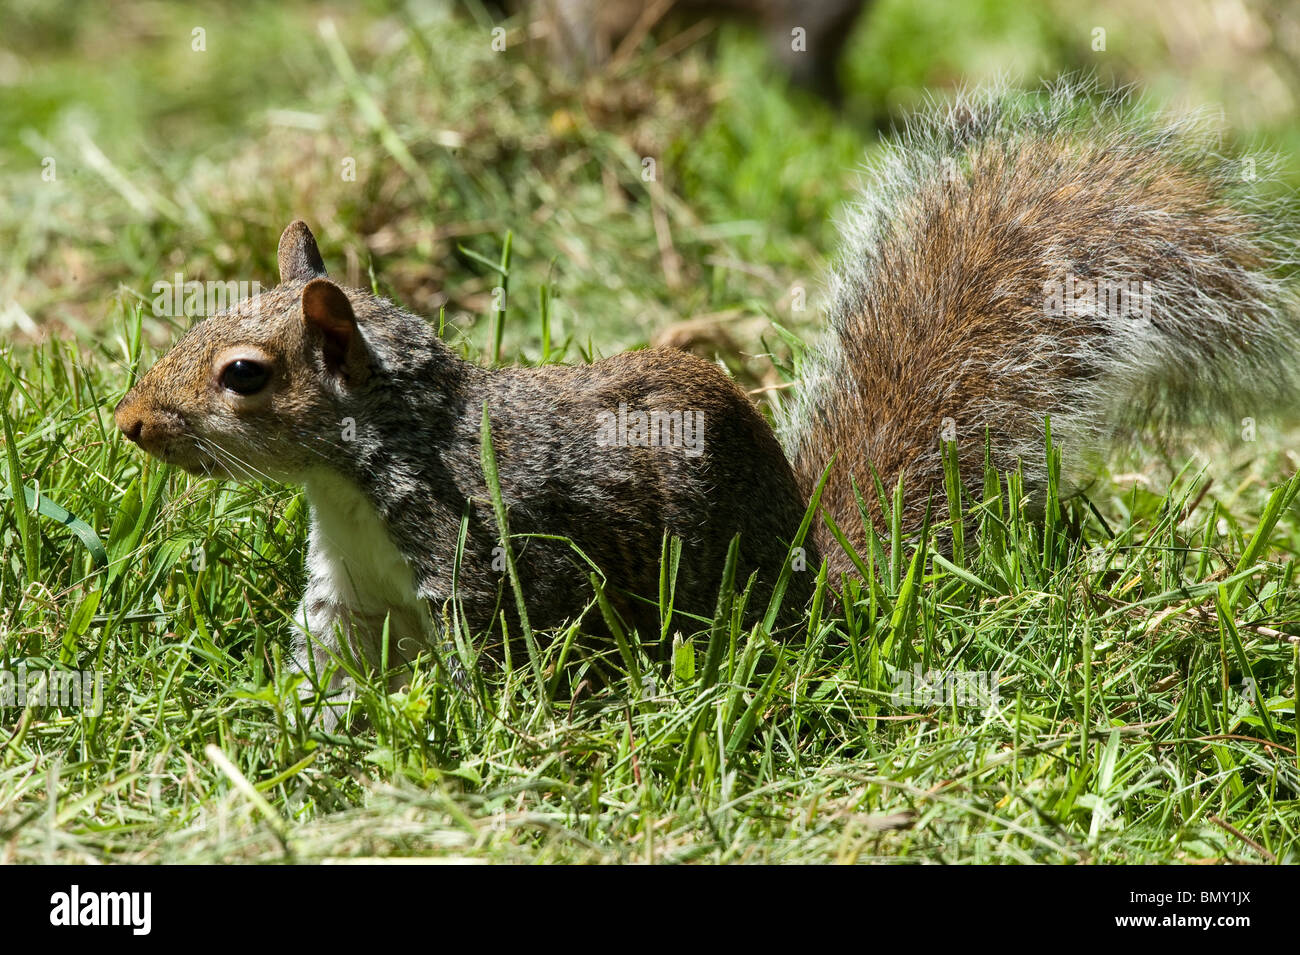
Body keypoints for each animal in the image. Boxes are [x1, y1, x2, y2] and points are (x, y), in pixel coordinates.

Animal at [114, 80, 1299, 717]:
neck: (357, 478)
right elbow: (328, 665)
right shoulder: (349, 596)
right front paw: (301, 730)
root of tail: (816, 572)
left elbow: (492, 666)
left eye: (244, 375)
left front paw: (456, 730)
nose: (127, 424)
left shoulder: (479, 560)